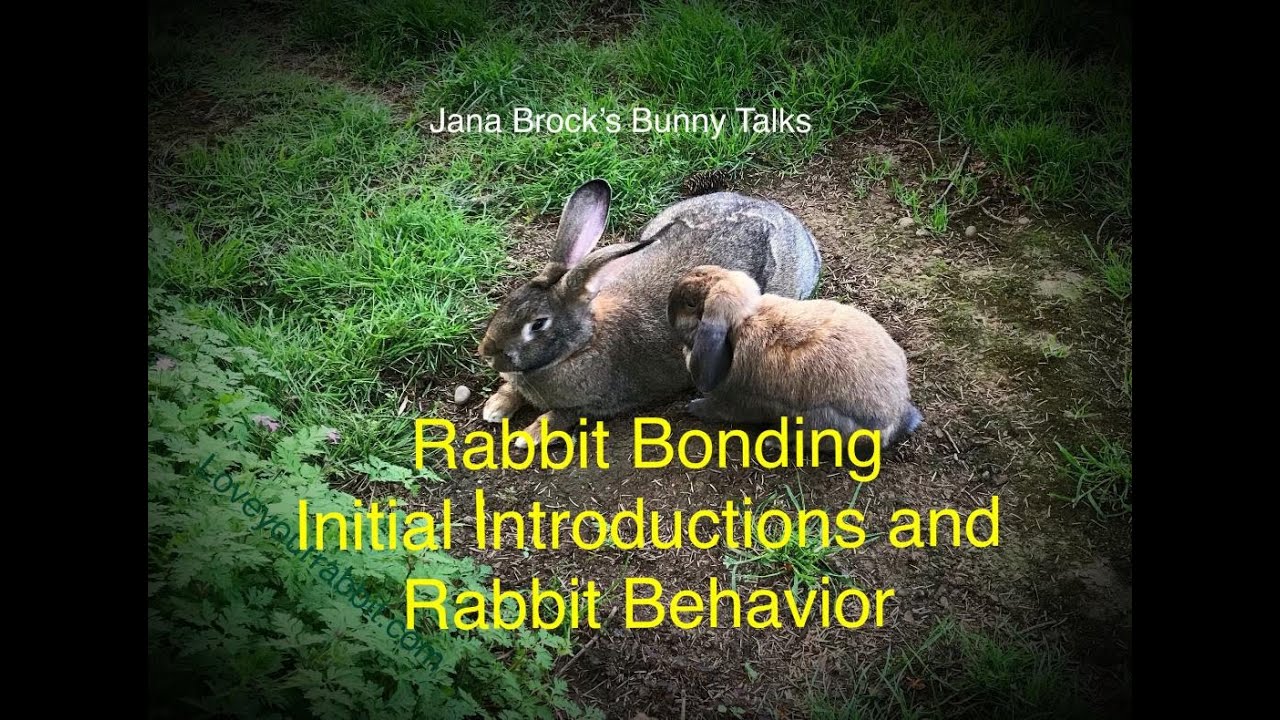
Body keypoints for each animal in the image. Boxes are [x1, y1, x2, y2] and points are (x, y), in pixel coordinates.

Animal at [477, 179, 823, 446]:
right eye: (508, 301)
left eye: (538, 324)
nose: (487, 352)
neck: (583, 344)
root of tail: (789, 224)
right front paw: (495, 407)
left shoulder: (595, 404)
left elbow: (559, 416)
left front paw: (527, 436)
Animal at [668, 265, 923, 448]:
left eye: (690, 303)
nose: (669, 309)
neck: (742, 323)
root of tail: (896, 418)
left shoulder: (735, 401)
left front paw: (693, 407)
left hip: (819, 422)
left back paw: (774, 442)